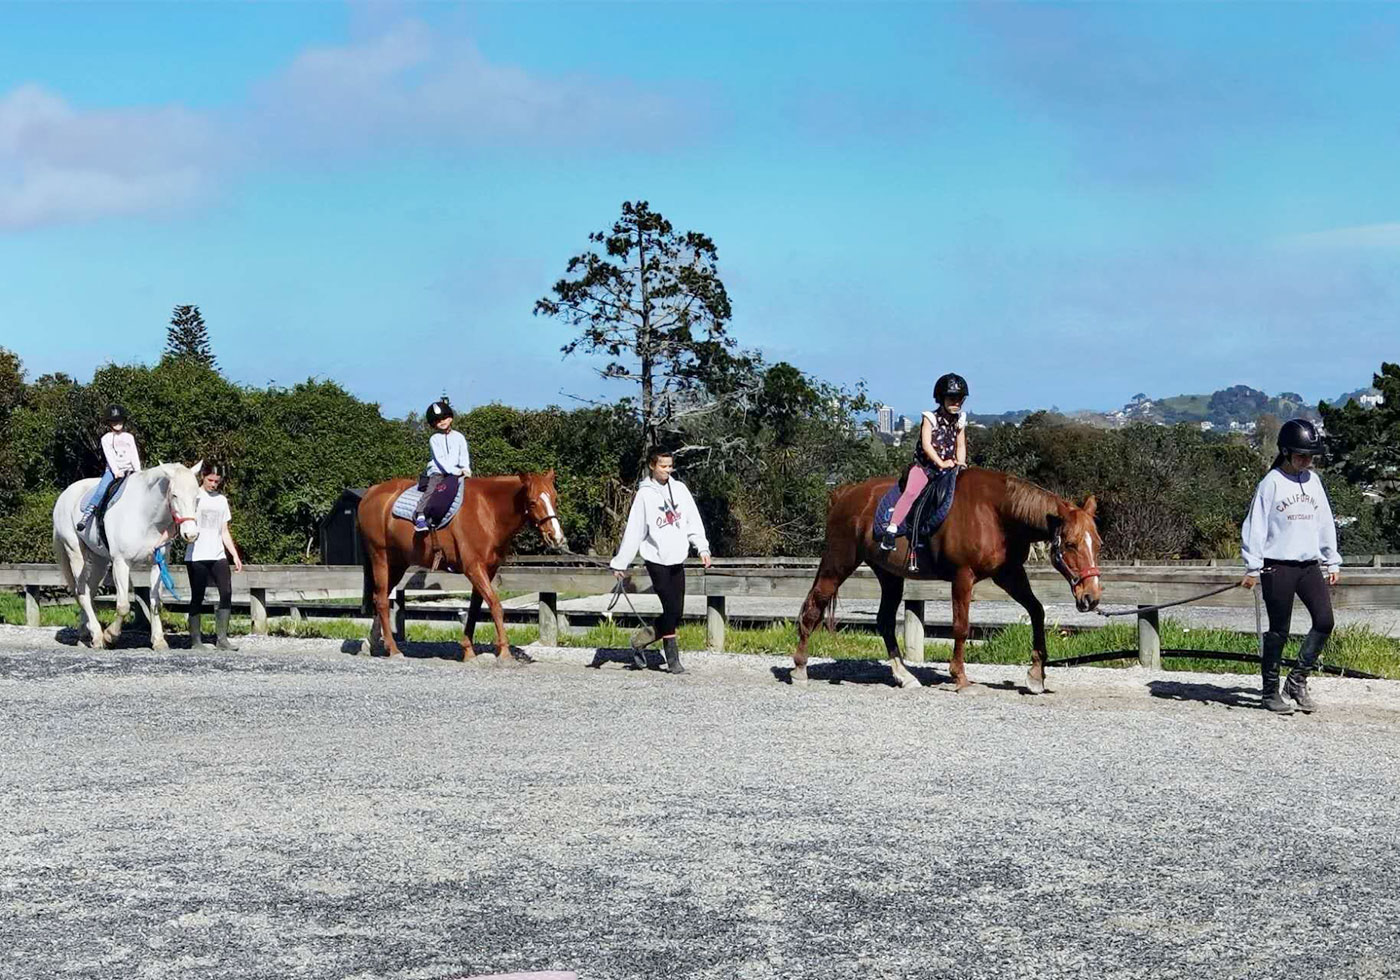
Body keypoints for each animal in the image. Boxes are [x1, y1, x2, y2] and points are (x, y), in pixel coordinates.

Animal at [52, 462, 204, 650]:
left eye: (197, 497)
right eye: (174, 495)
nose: (191, 534)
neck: (145, 515)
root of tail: (64, 495)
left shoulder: (157, 564)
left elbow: (156, 602)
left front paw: (158, 640)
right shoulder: (121, 563)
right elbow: (123, 605)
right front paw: (110, 636)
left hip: (100, 561)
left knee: (90, 590)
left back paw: (85, 634)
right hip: (75, 552)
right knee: (82, 592)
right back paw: (97, 636)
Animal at [357, 471, 567, 661]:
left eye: (554, 498)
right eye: (532, 502)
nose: (556, 537)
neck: (488, 510)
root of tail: (371, 493)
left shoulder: (487, 571)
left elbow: (474, 609)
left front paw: (468, 651)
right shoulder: (474, 568)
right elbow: (495, 605)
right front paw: (504, 652)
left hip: (397, 565)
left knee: (379, 598)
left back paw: (371, 644)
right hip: (381, 559)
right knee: (382, 601)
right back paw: (393, 649)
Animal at [795, 467, 1103, 692]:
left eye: (1097, 544)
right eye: (1071, 544)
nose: (1091, 596)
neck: (996, 513)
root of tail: (844, 493)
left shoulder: (1009, 574)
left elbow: (1037, 612)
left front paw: (1036, 675)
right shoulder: (962, 576)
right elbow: (961, 627)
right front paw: (960, 677)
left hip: (889, 575)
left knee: (884, 621)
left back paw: (904, 676)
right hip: (838, 562)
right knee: (813, 607)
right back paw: (799, 668)